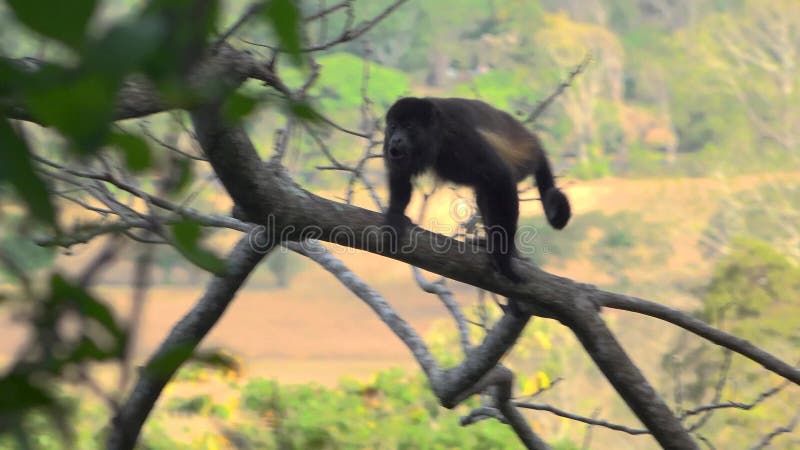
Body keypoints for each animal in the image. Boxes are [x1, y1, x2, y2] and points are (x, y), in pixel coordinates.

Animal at [382, 97, 571, 283]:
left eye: (408, 126)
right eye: (393, 127)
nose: (396, 139)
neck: (436, 133)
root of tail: (535, 143)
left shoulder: (459, 136)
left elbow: (500, 175)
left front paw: (503, 260)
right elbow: (400, 176)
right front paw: (395, 215)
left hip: (524, 161)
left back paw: (508, 252)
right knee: (484, 194)